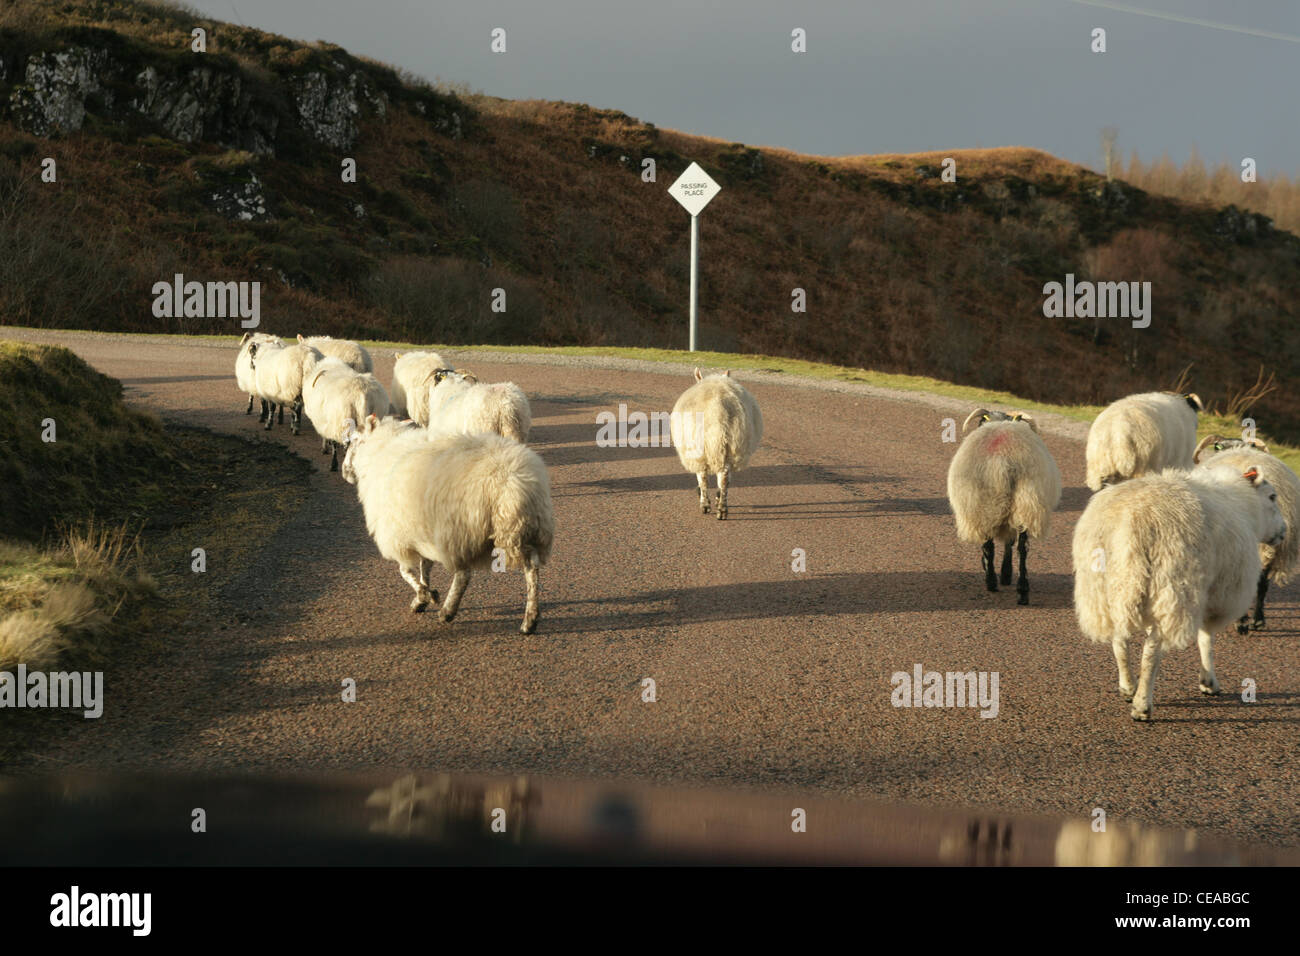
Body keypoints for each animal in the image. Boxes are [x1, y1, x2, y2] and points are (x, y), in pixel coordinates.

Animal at [340, 415, 554, 634]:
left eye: (353, 440)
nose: (344, 473)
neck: (381, 448)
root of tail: (511, 483)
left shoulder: (398, 534)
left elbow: (406, 571)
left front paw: (424, 595)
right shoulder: (421, 530)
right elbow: (425, 566)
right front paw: (423, 597)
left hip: (461, 529)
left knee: (463, 574)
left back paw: (448, 611)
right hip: (526, 529)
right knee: (532, 569)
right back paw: (530, 620)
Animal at [668, 368, 763, 520]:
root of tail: (717, 408)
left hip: (699, 449)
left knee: (703, 477)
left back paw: (706, 505)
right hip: (734, 446)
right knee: (724, 478)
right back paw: (722, 508)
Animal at [946, 408, 1062, 604]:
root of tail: (1002, 460)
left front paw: (1002, 574)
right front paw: (1006, 574)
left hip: (985, 504)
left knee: (991, 546)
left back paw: (992, 581)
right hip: (1026, 501)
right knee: (1022, 548)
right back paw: (1022, 590)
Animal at [1072, 463, 1287, 721]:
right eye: (1272, 496)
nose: (1284, 531)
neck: (1245, 505)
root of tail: (1129, 524)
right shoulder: (1216, 593)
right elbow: (1206, 638)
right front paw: (1208, 682)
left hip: (1104, 589)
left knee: (1119, 640)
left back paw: (1128, 687)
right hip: (1172, 587)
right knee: (1151, 651)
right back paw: (1142, 705)